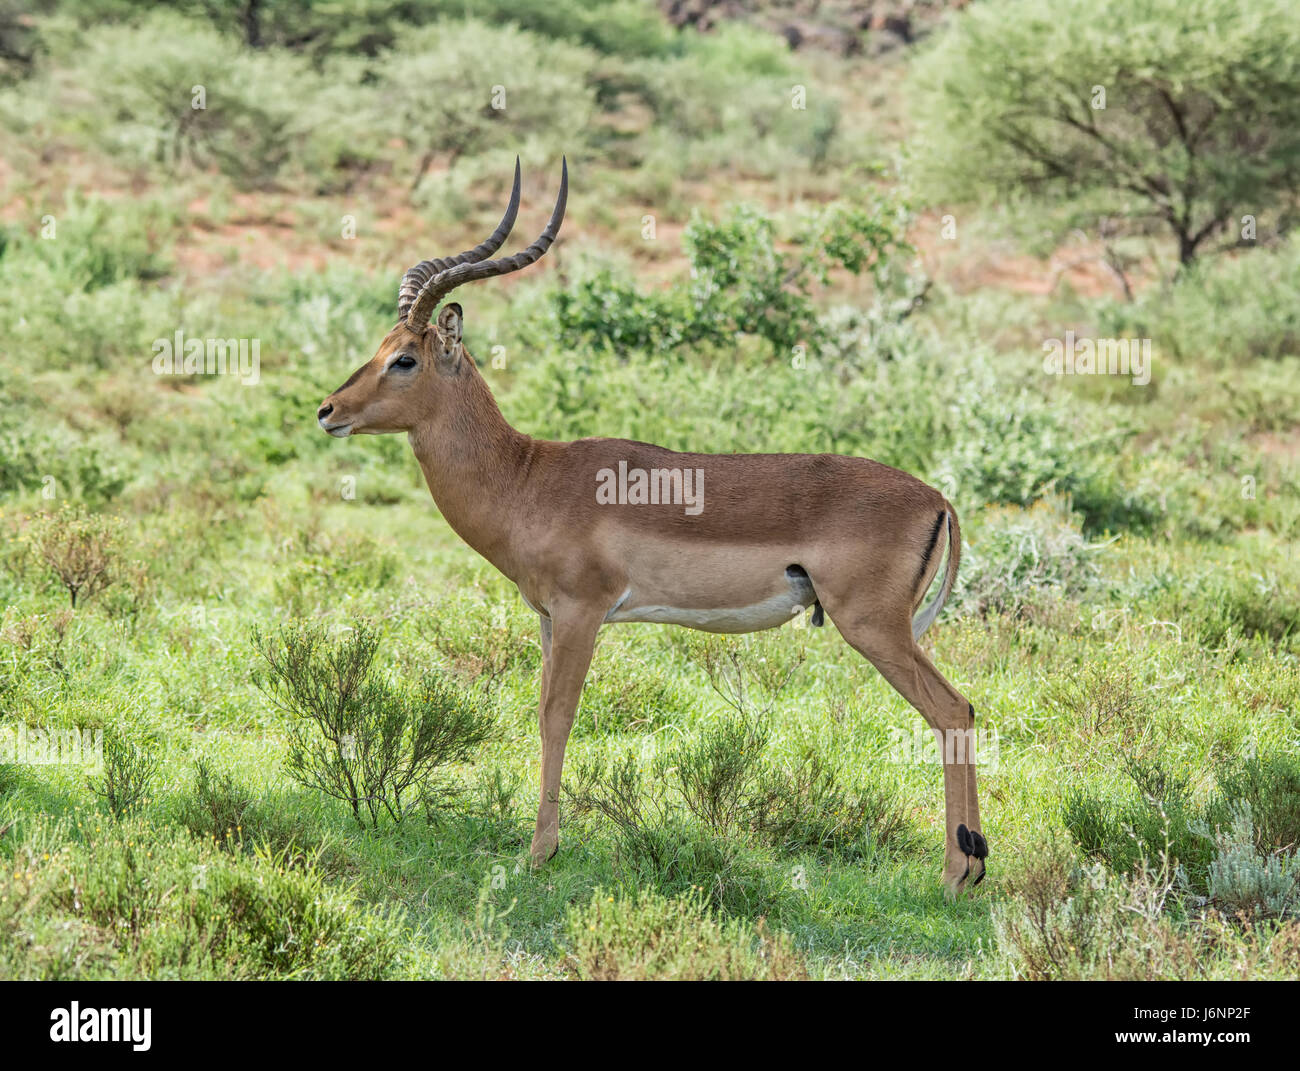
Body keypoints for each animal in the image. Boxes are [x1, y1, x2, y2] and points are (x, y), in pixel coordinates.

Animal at [317, 159, 988, 894]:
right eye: (381, 347)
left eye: (405, 358)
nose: (328, 410)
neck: (527, 476)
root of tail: (938, 499)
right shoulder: (547, 617)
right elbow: (542, 712)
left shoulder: (582, 612)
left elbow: (558, 718)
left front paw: (538, 853)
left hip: (874, 626)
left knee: (953, 710)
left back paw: (959, 874)